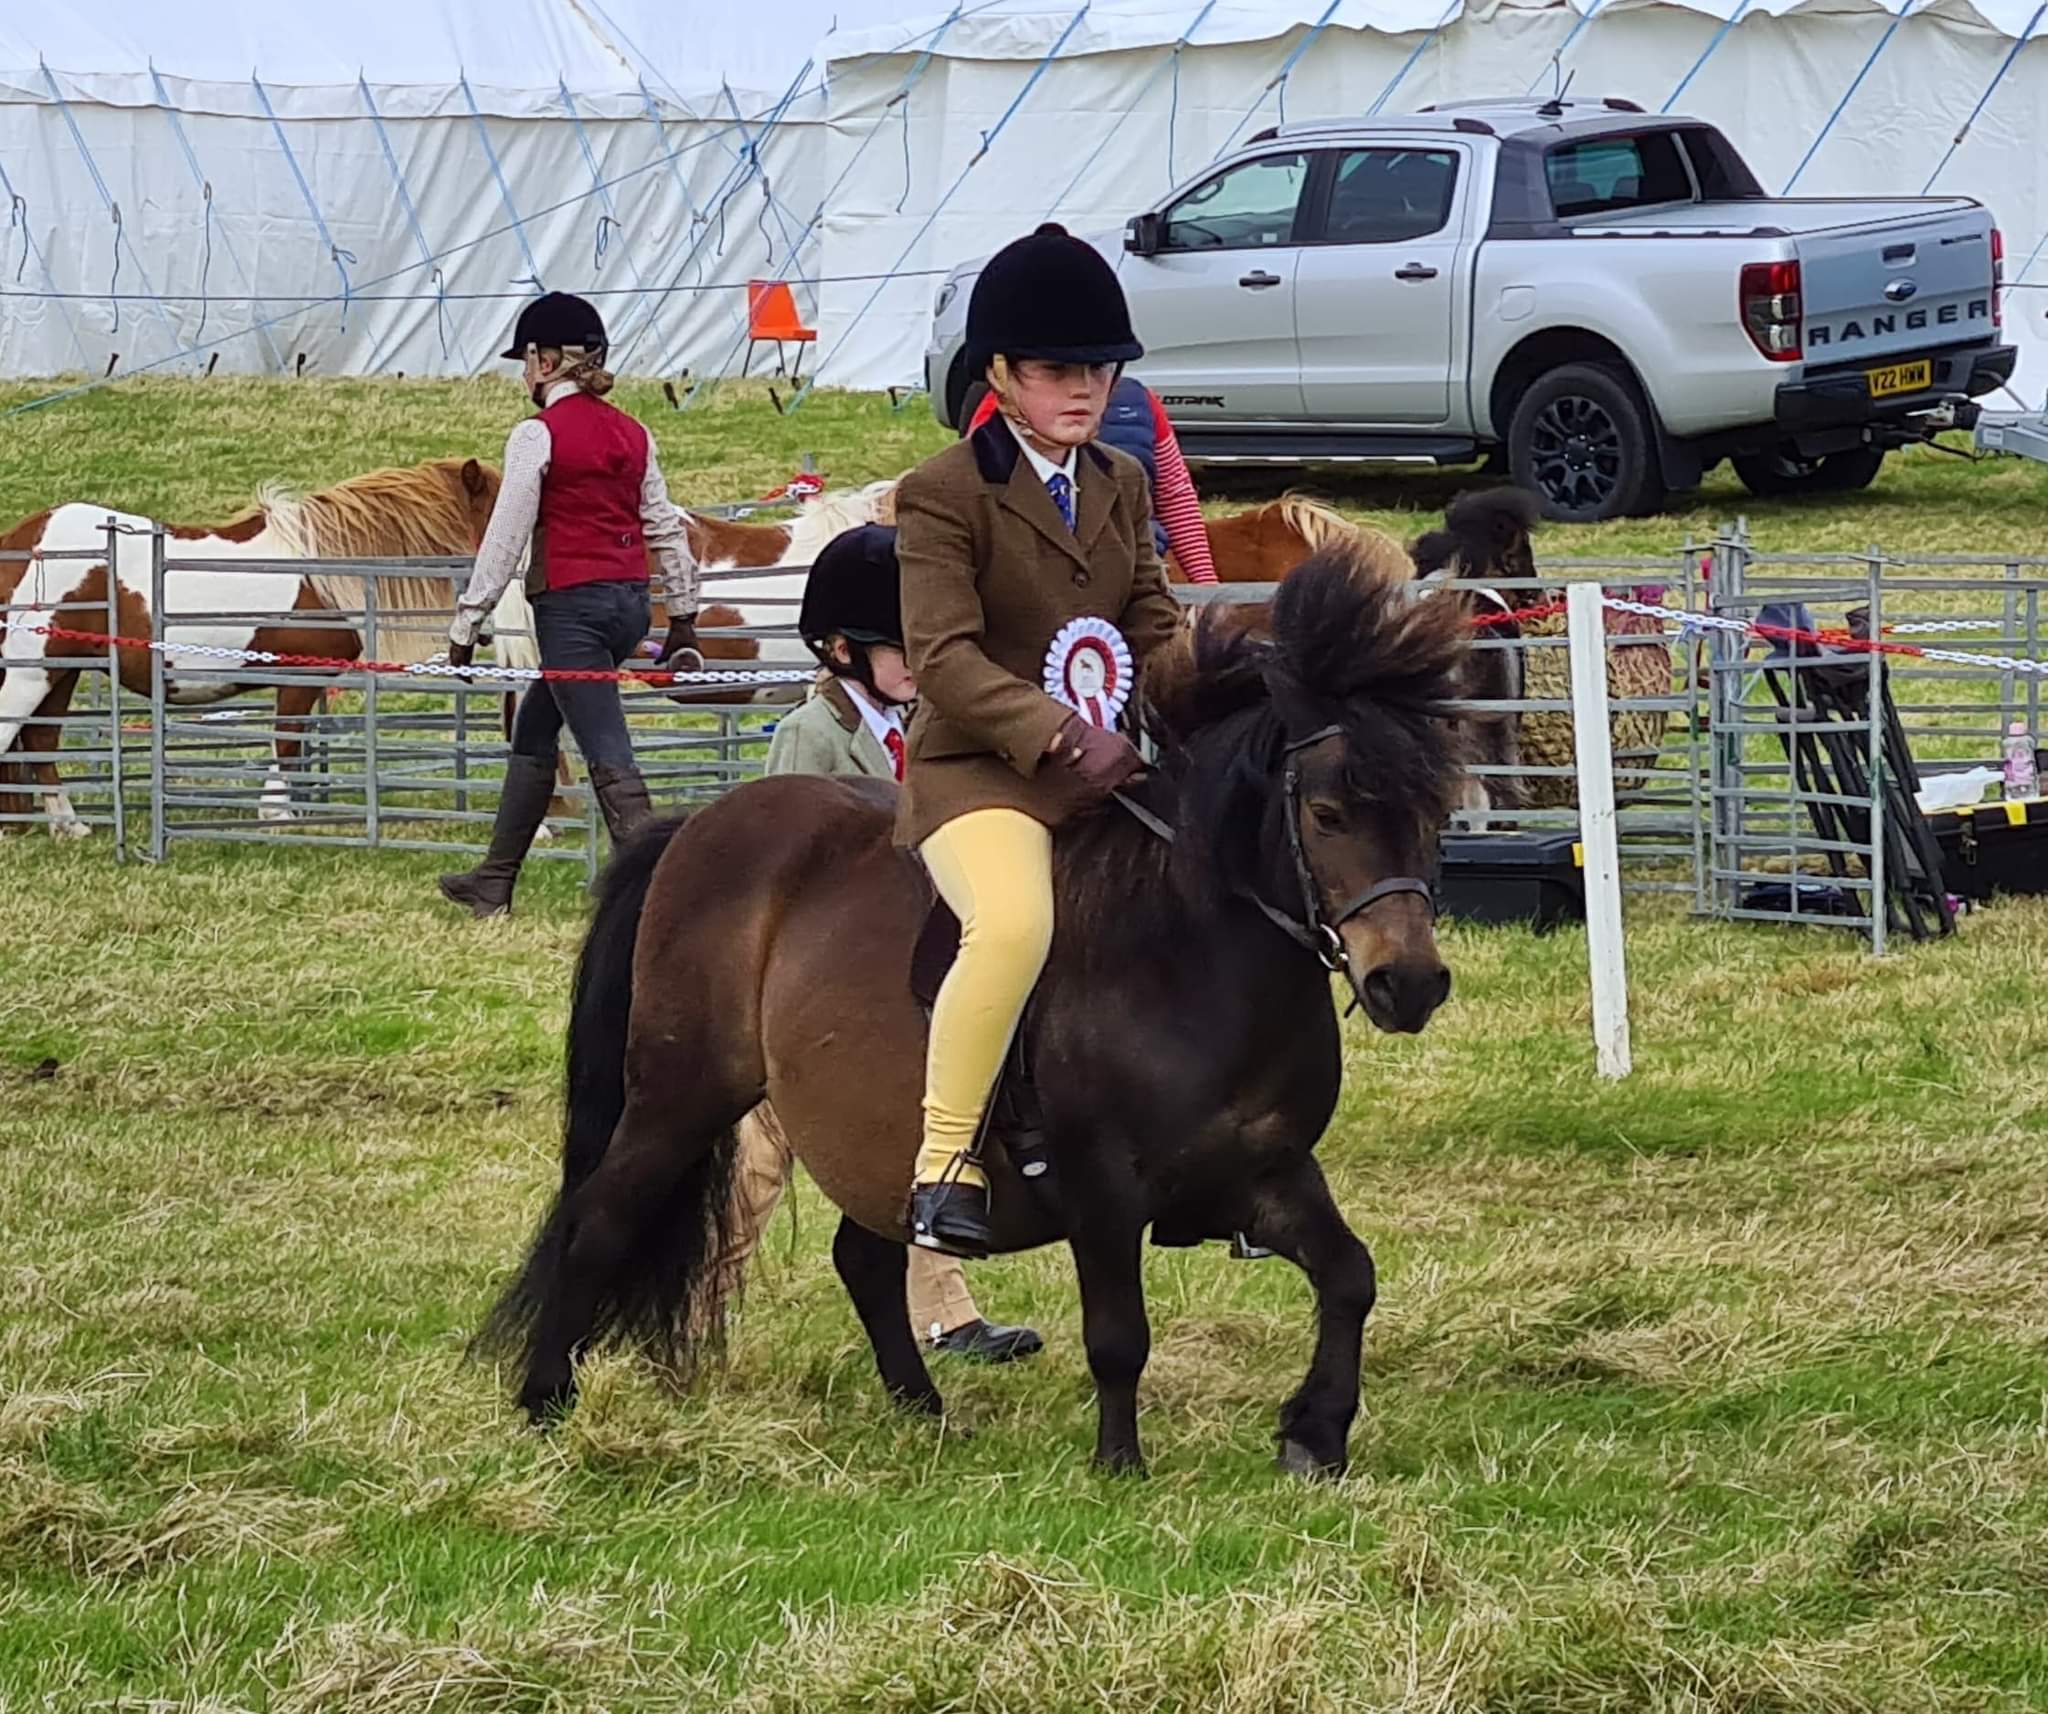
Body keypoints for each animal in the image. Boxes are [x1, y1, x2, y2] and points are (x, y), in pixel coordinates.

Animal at [0, 458, 544, 834]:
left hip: (59, 671)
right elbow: (286, 740)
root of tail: (23, 539)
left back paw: (67, 825)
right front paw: (278, 814)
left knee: (40, 742)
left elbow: (298, 746)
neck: (327, 573)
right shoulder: (296, 678)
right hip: (30, 672)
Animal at [473, 532, 1470, 1477]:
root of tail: (700, 825)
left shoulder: (1268, 1172)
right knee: (602, 1220)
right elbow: (1119, 1335)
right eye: (1328, 814)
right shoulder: (1103, 1188)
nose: (1409, 984)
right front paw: (1121, 1466)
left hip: (868, 1127)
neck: (1191, 957)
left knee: (866, 1254)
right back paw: (546, 1399)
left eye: (1436, 808)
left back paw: (924, 1410)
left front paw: (1315, 1435)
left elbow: (1351, 1276)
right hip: (683, 1095)